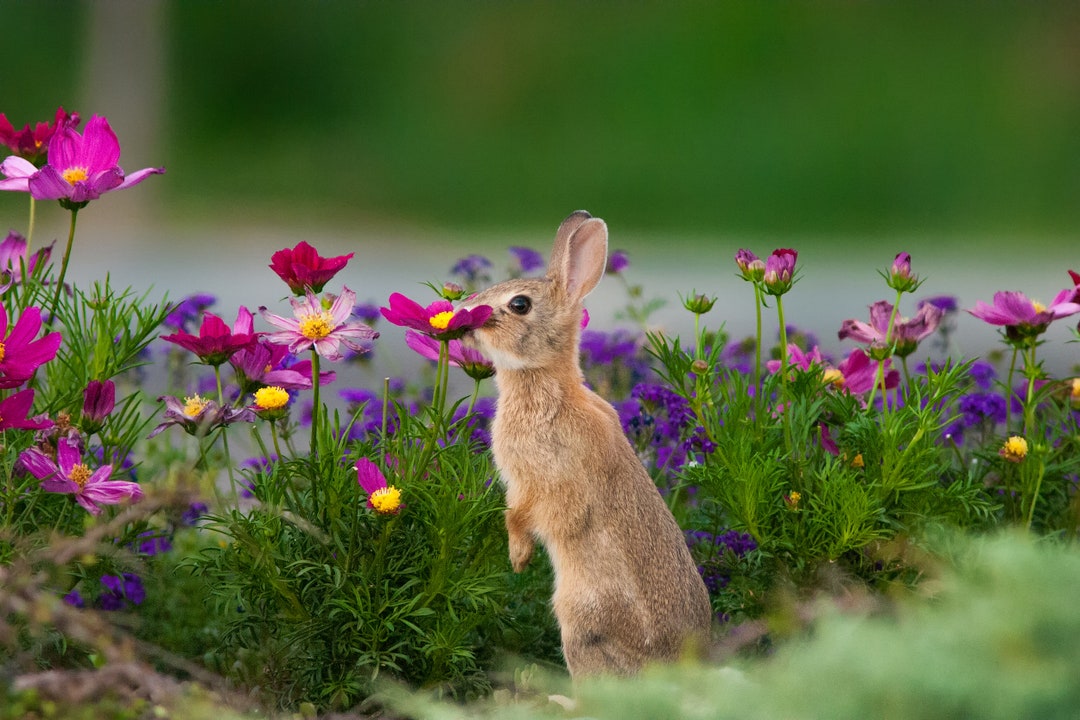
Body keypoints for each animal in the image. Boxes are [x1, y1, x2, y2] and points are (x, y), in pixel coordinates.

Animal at [460, 210, 712, 678]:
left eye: (519, 304)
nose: (463, 317)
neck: (548, 389)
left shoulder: (544, 481)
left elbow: (525, 516)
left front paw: (518, 559)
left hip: (581, 625)